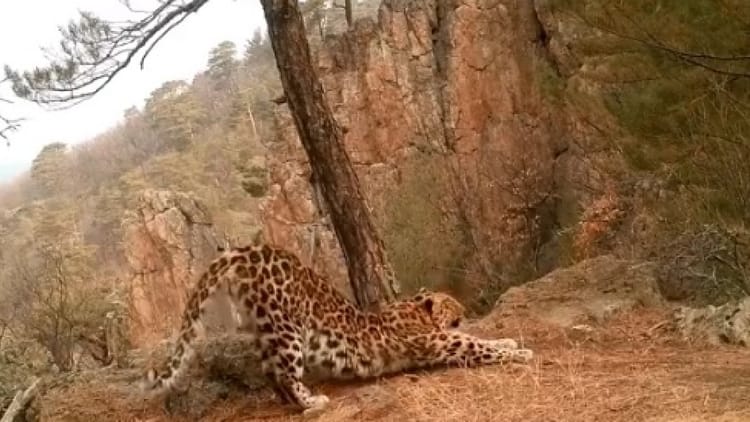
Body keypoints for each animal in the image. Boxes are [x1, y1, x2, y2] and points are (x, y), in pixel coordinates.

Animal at [141, 243, 533, 415]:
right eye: (452, 304)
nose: (464, 309)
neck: (413, 312)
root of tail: (244, 251)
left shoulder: (444, 337)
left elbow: (478, 338)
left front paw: (510, 339)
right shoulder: (438, 344)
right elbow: (476, 345)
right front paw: (520, 351)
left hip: (263, 326)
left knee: (270, 372)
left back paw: (294, 405)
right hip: (287, 329)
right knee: (285, 373)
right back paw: (313, 402)